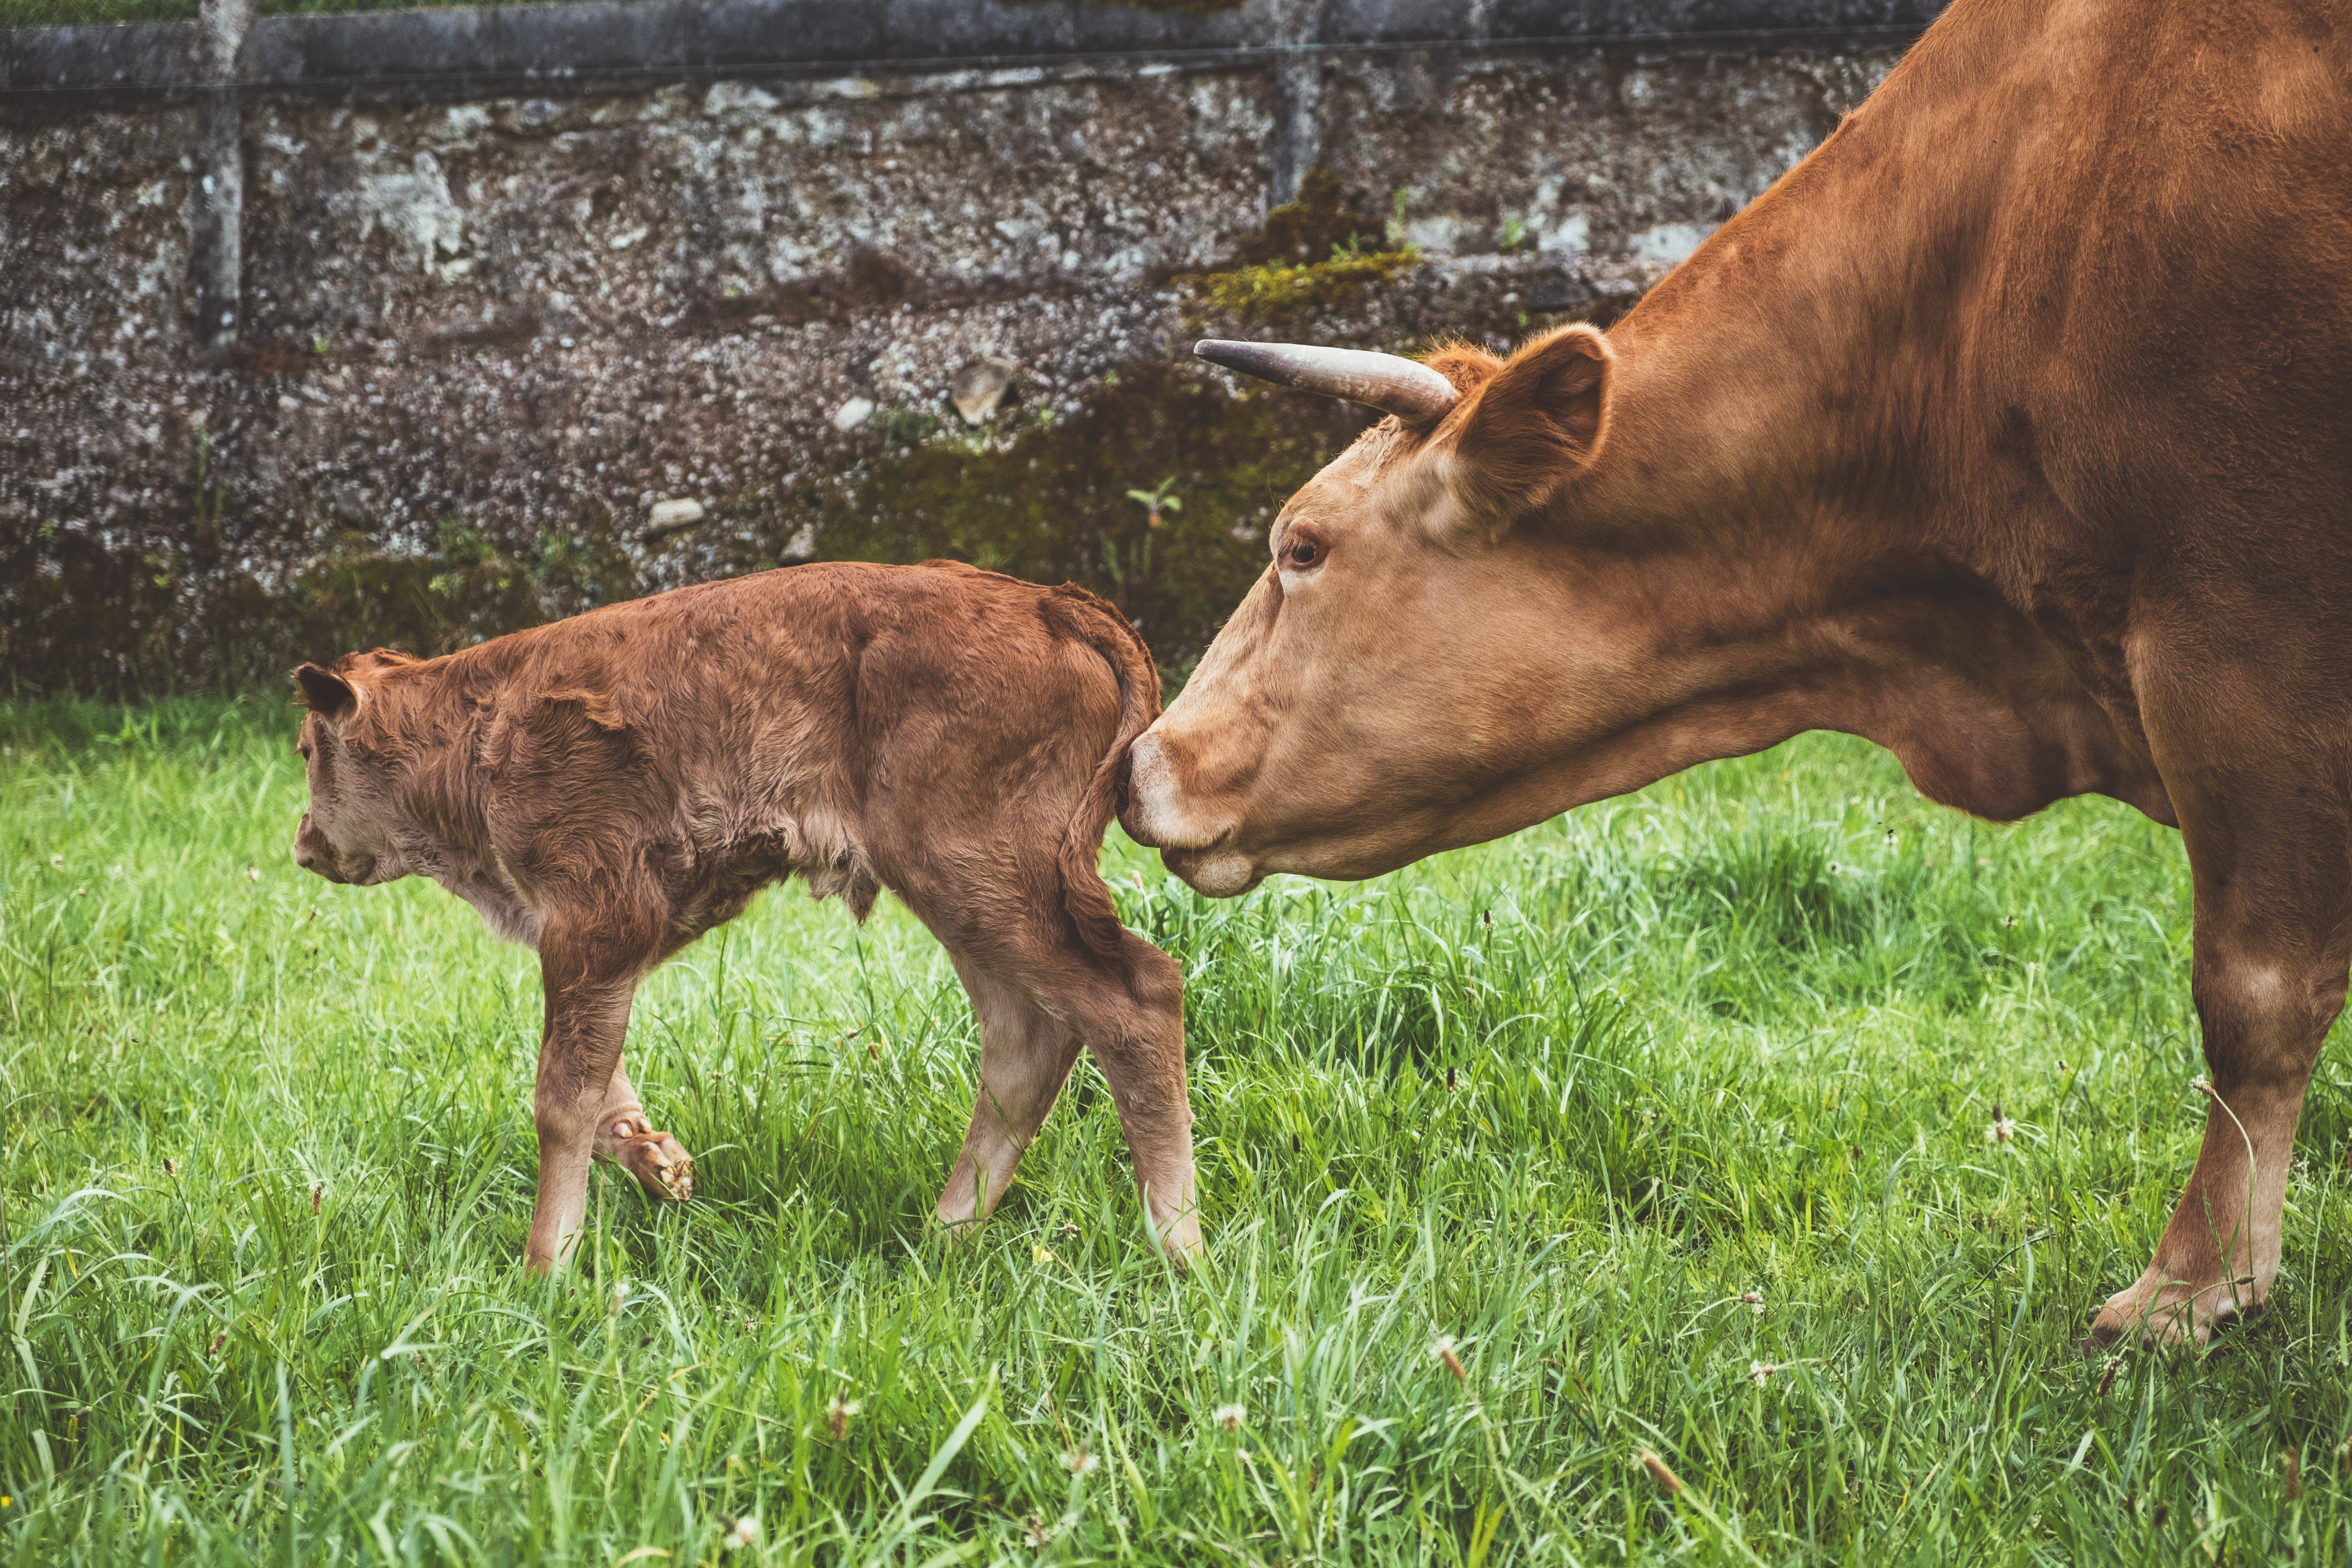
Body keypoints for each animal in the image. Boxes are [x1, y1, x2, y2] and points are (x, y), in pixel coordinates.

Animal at [290, 561, 1198, 1272]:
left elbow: (562, 1096)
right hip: (968, 903)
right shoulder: (594, 949)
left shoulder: (593, 921)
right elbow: (599, 1081)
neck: (471, 728)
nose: (304, 844)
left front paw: (547, 1266)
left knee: (1132, 1000)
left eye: (307, 750)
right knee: (1025, 1039)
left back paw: (1178, 1249)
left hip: (981, 880)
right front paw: (660, 1164)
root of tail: (1049, 603)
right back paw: (945, 1236)